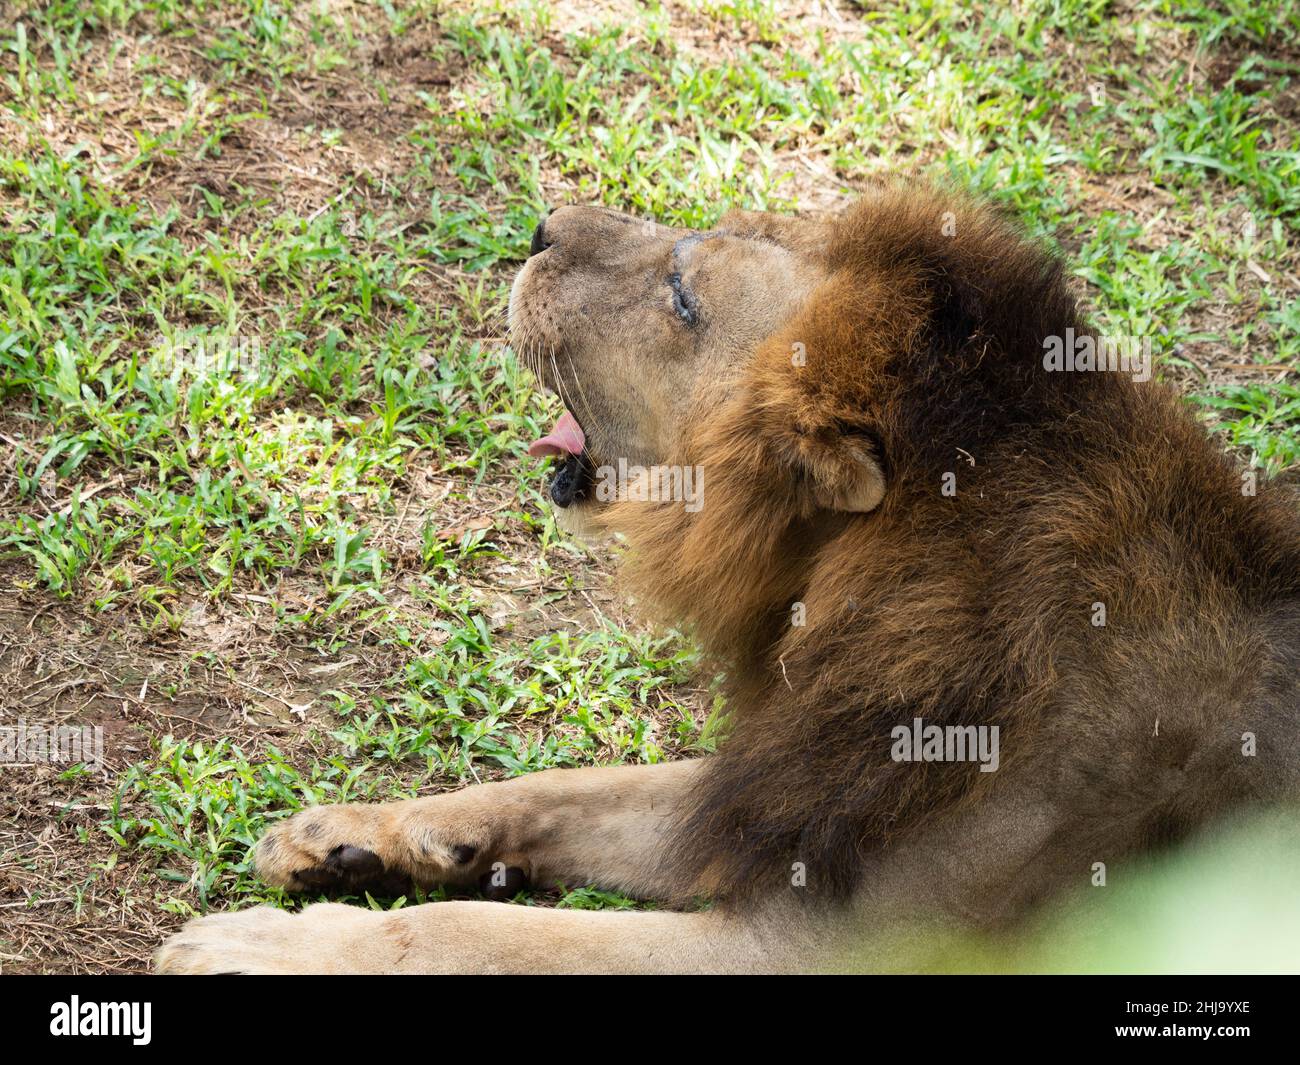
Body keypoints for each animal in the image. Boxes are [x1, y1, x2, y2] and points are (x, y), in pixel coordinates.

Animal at [156, 180, 1300, 974]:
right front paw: (348, 835)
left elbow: (477, 935)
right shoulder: (773, 788)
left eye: (681, 293)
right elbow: (571, 789)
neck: (836, 589)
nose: (541, 224)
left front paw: (257, 946)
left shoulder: (815, 948)